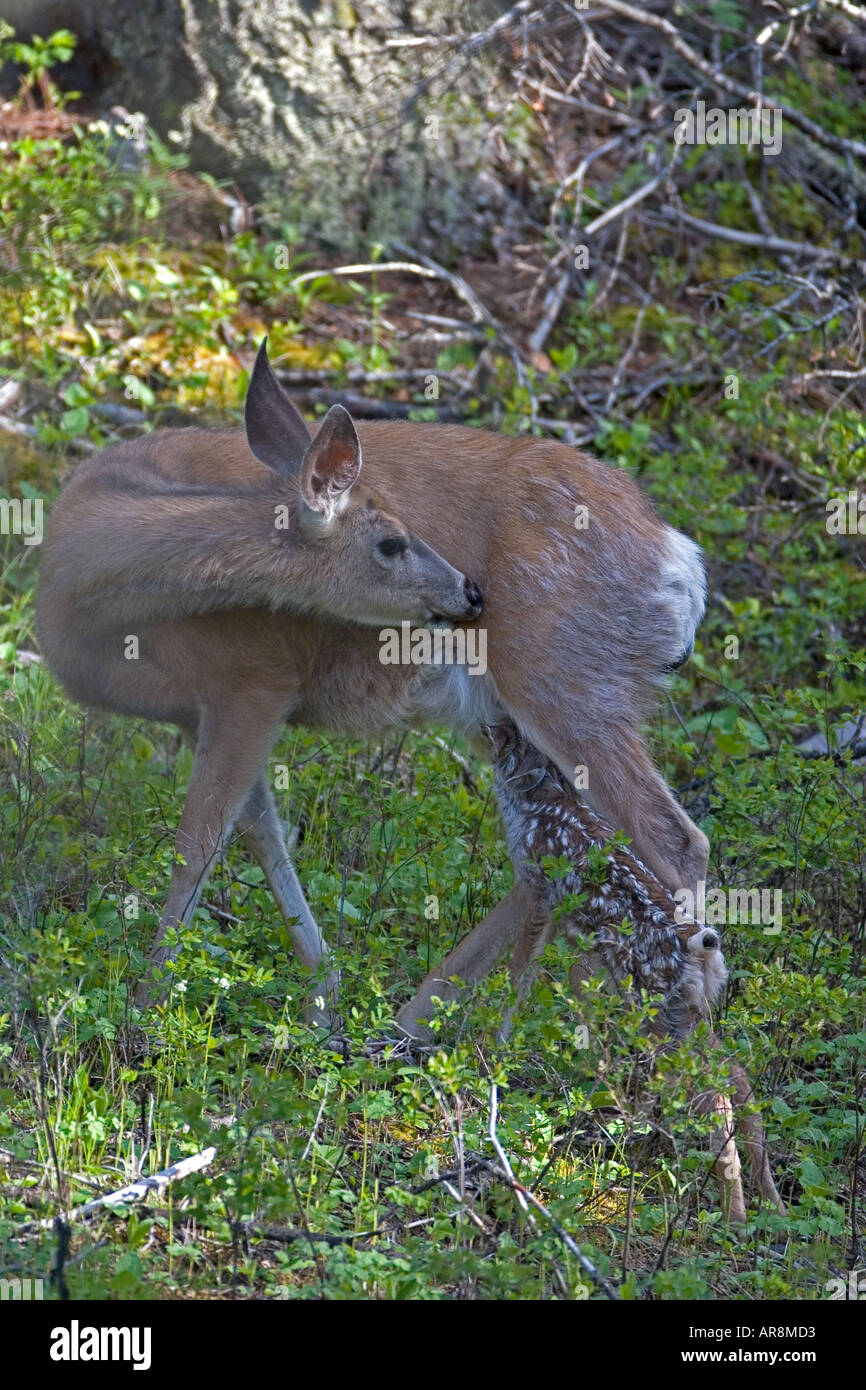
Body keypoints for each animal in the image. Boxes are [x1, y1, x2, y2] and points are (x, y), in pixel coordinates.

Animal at [36, 338, 710, 1035]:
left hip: (564, 676)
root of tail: (677, 558)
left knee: (672, 838)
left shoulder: (254, 680)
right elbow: (261, 833)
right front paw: (322, 999)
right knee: (558, 850)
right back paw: (418, 1020)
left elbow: (198, 842)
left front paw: (144, 1009)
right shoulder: (203, 713)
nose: (470, 593)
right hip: (524, 711)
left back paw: (676, 1018)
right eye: (391, 542)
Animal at [485, 719, 786, 1223]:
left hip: (661, 1020)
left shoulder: (540, 892)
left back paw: (735, 1215)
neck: (536, 801)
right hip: (684, 1019)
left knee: (716, 1099)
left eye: (507, 737)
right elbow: (574, 984)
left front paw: (493, 1040)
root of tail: (702, 952)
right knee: (740, 1079)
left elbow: (521, 970)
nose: (489, 725)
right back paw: (772, 1202)